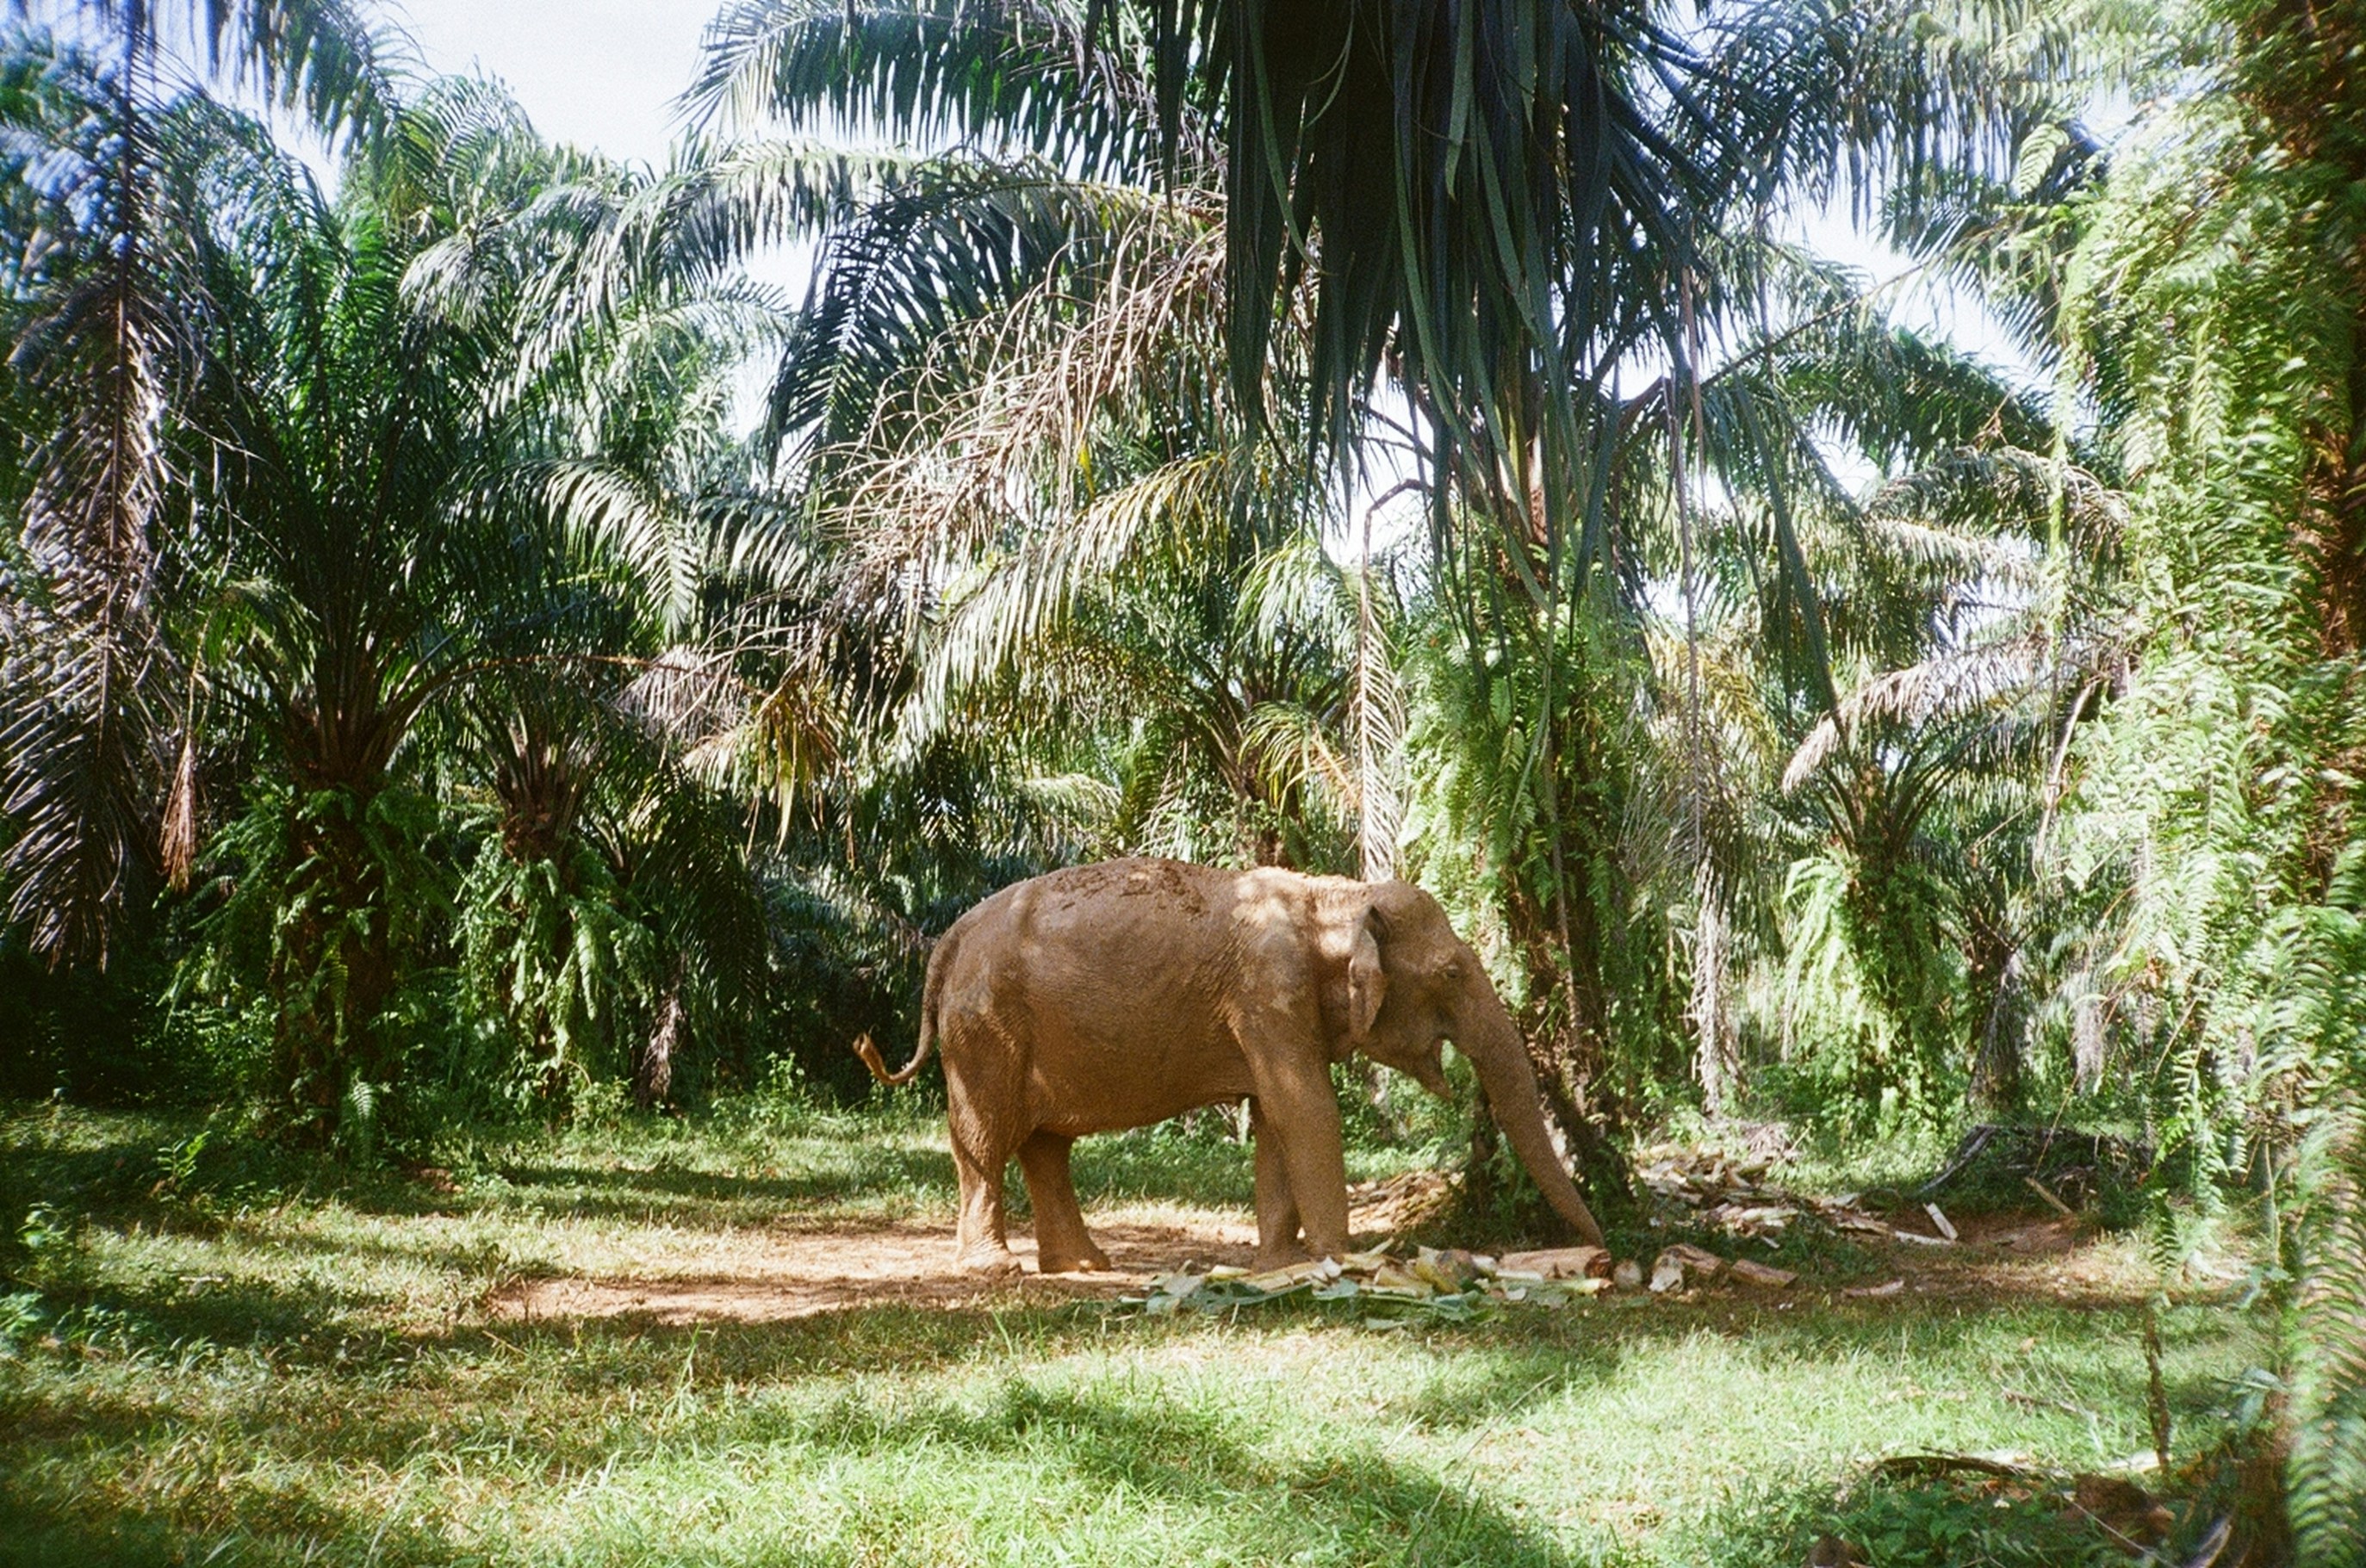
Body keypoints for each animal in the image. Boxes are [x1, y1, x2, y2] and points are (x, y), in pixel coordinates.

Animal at [855, 856, 1608, 1275]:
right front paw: (1347, 1262)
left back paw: (1084, 1265)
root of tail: (948, 940)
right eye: (1452, 972)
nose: (1601, 1252)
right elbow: (1305, 1108)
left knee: (1046, 1145)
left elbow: (1276, 1120)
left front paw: (1277, 1263)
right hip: (986, 1026)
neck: (1332, 895)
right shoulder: (1267, 993)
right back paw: (995, 1270)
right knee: (986, 1137)